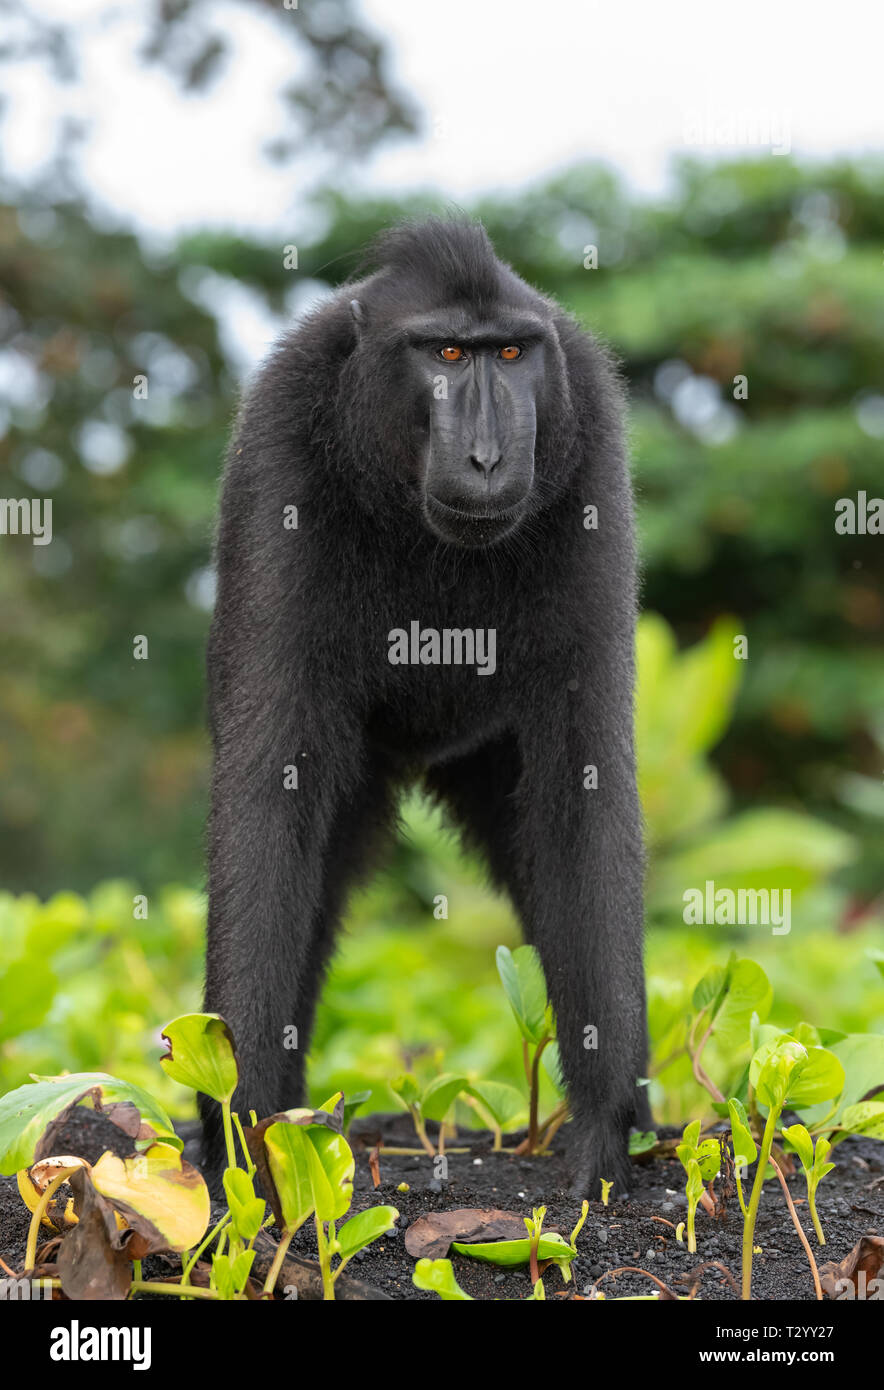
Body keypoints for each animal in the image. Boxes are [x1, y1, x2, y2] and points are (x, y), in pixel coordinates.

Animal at [200, 216, 650, 1194]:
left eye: (511, 354)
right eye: (445, 353)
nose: (486, 456)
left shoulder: (590, 436)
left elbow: (585, 786)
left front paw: (607, 1128)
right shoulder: (280, 441)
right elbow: (267, 794)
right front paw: (238, 1140)